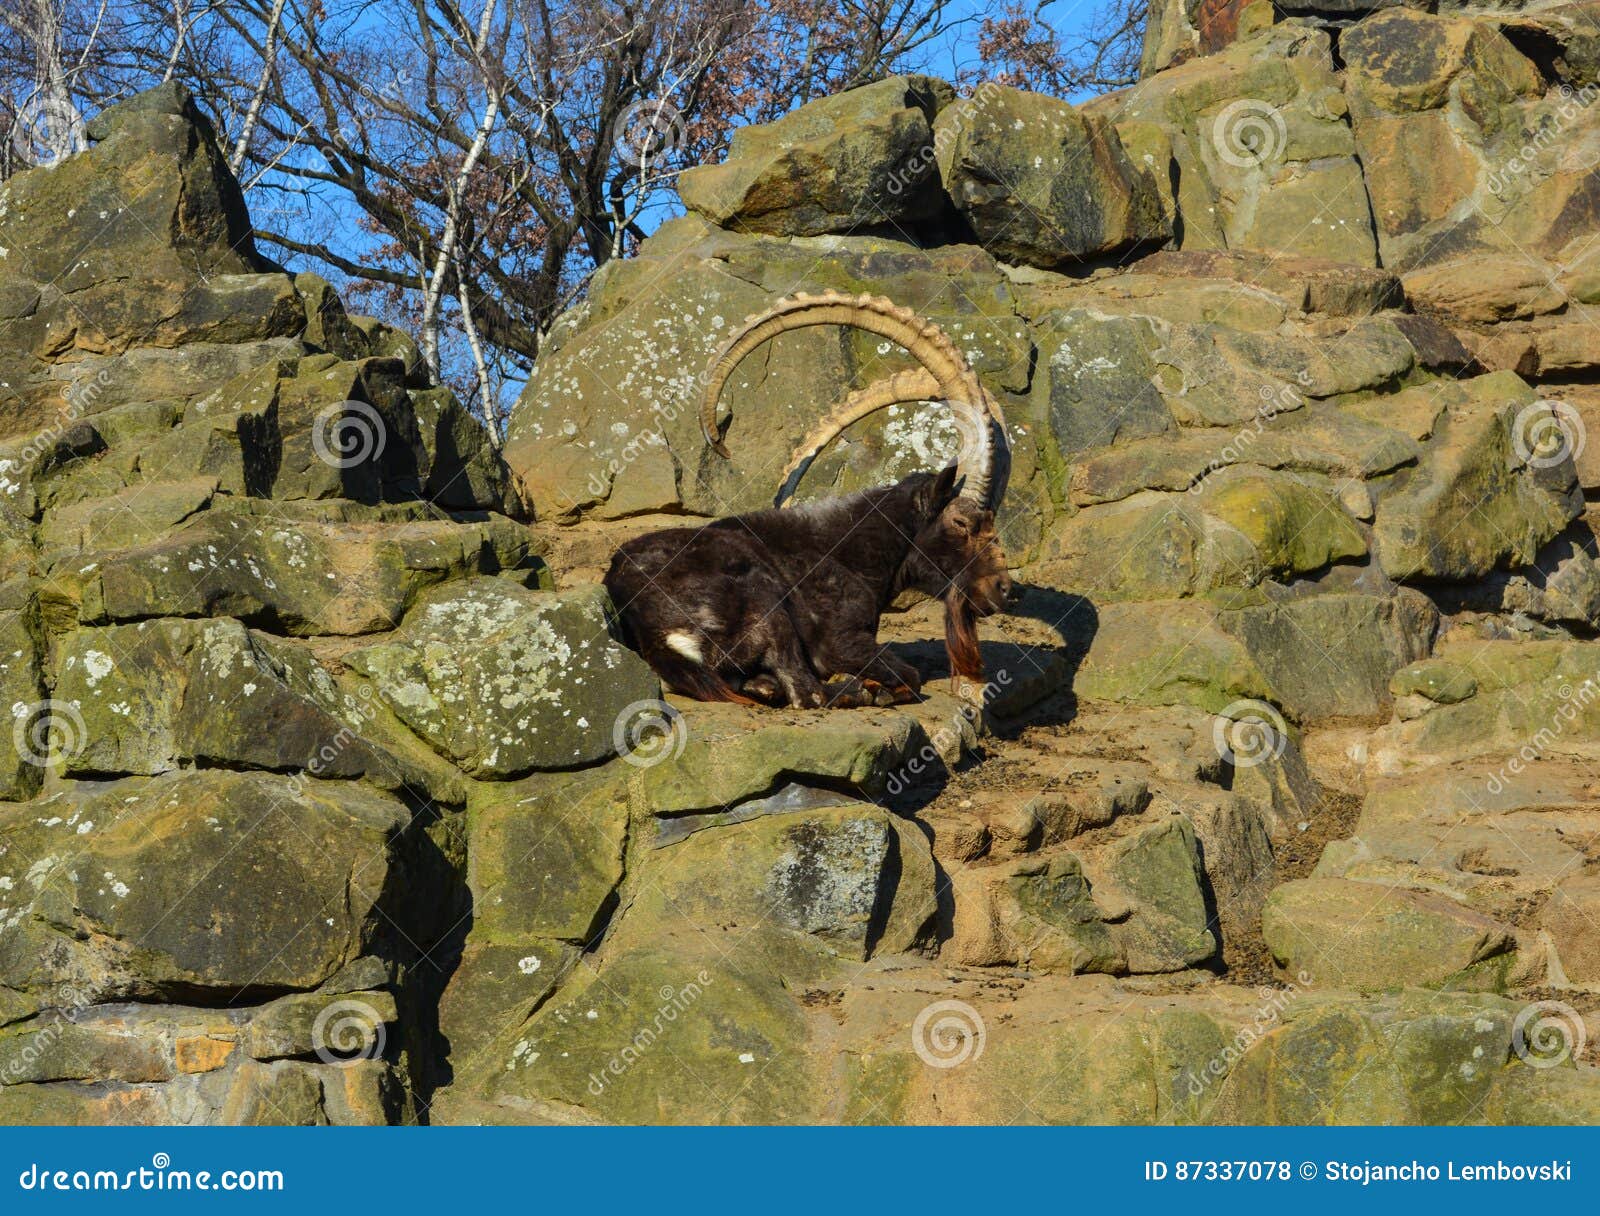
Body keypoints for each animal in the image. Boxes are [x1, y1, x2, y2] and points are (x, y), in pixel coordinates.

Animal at [603, 292, 1014, 709]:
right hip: (766, 602)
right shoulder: (839, 640)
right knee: (807, 692)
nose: (1003, 589)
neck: (850, 551)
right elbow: (905, 675)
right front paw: (874, 686)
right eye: (961, 522)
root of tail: (656, 631)